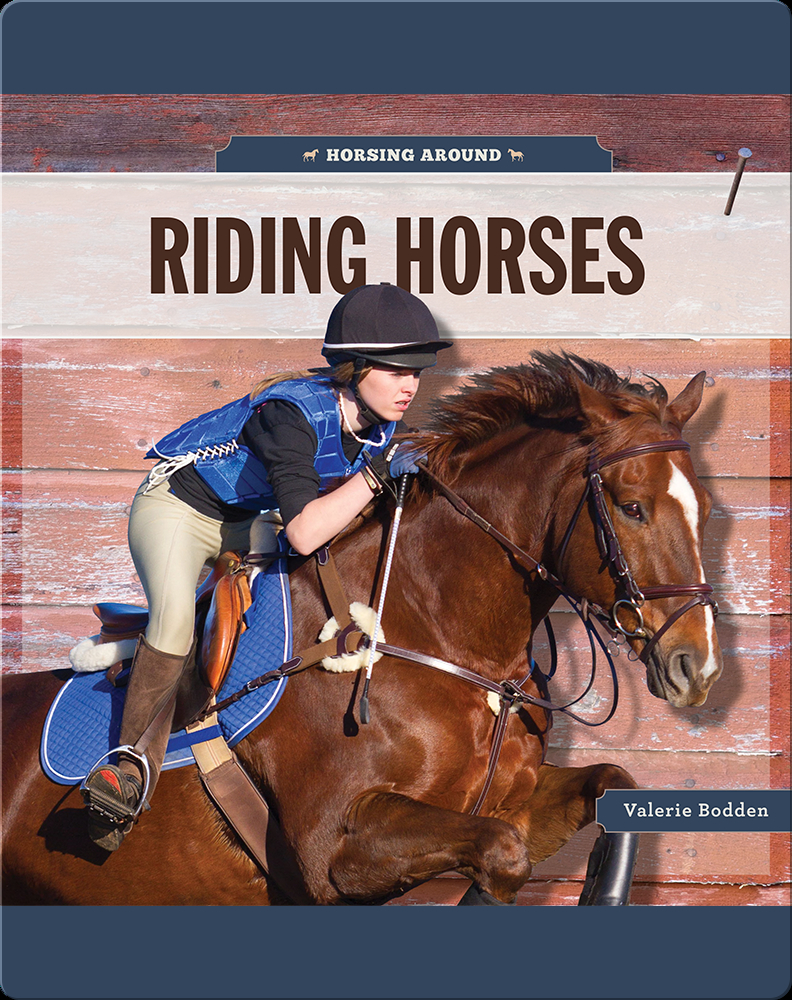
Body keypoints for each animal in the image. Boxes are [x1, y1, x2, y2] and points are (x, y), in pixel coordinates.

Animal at [1, 354, 722, 906]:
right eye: (631, 507)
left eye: (708, 510)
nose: (698, 668)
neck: (439, 633)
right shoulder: (334, 852)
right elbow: (504, 856)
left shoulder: (512, 802)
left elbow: (609, 787)